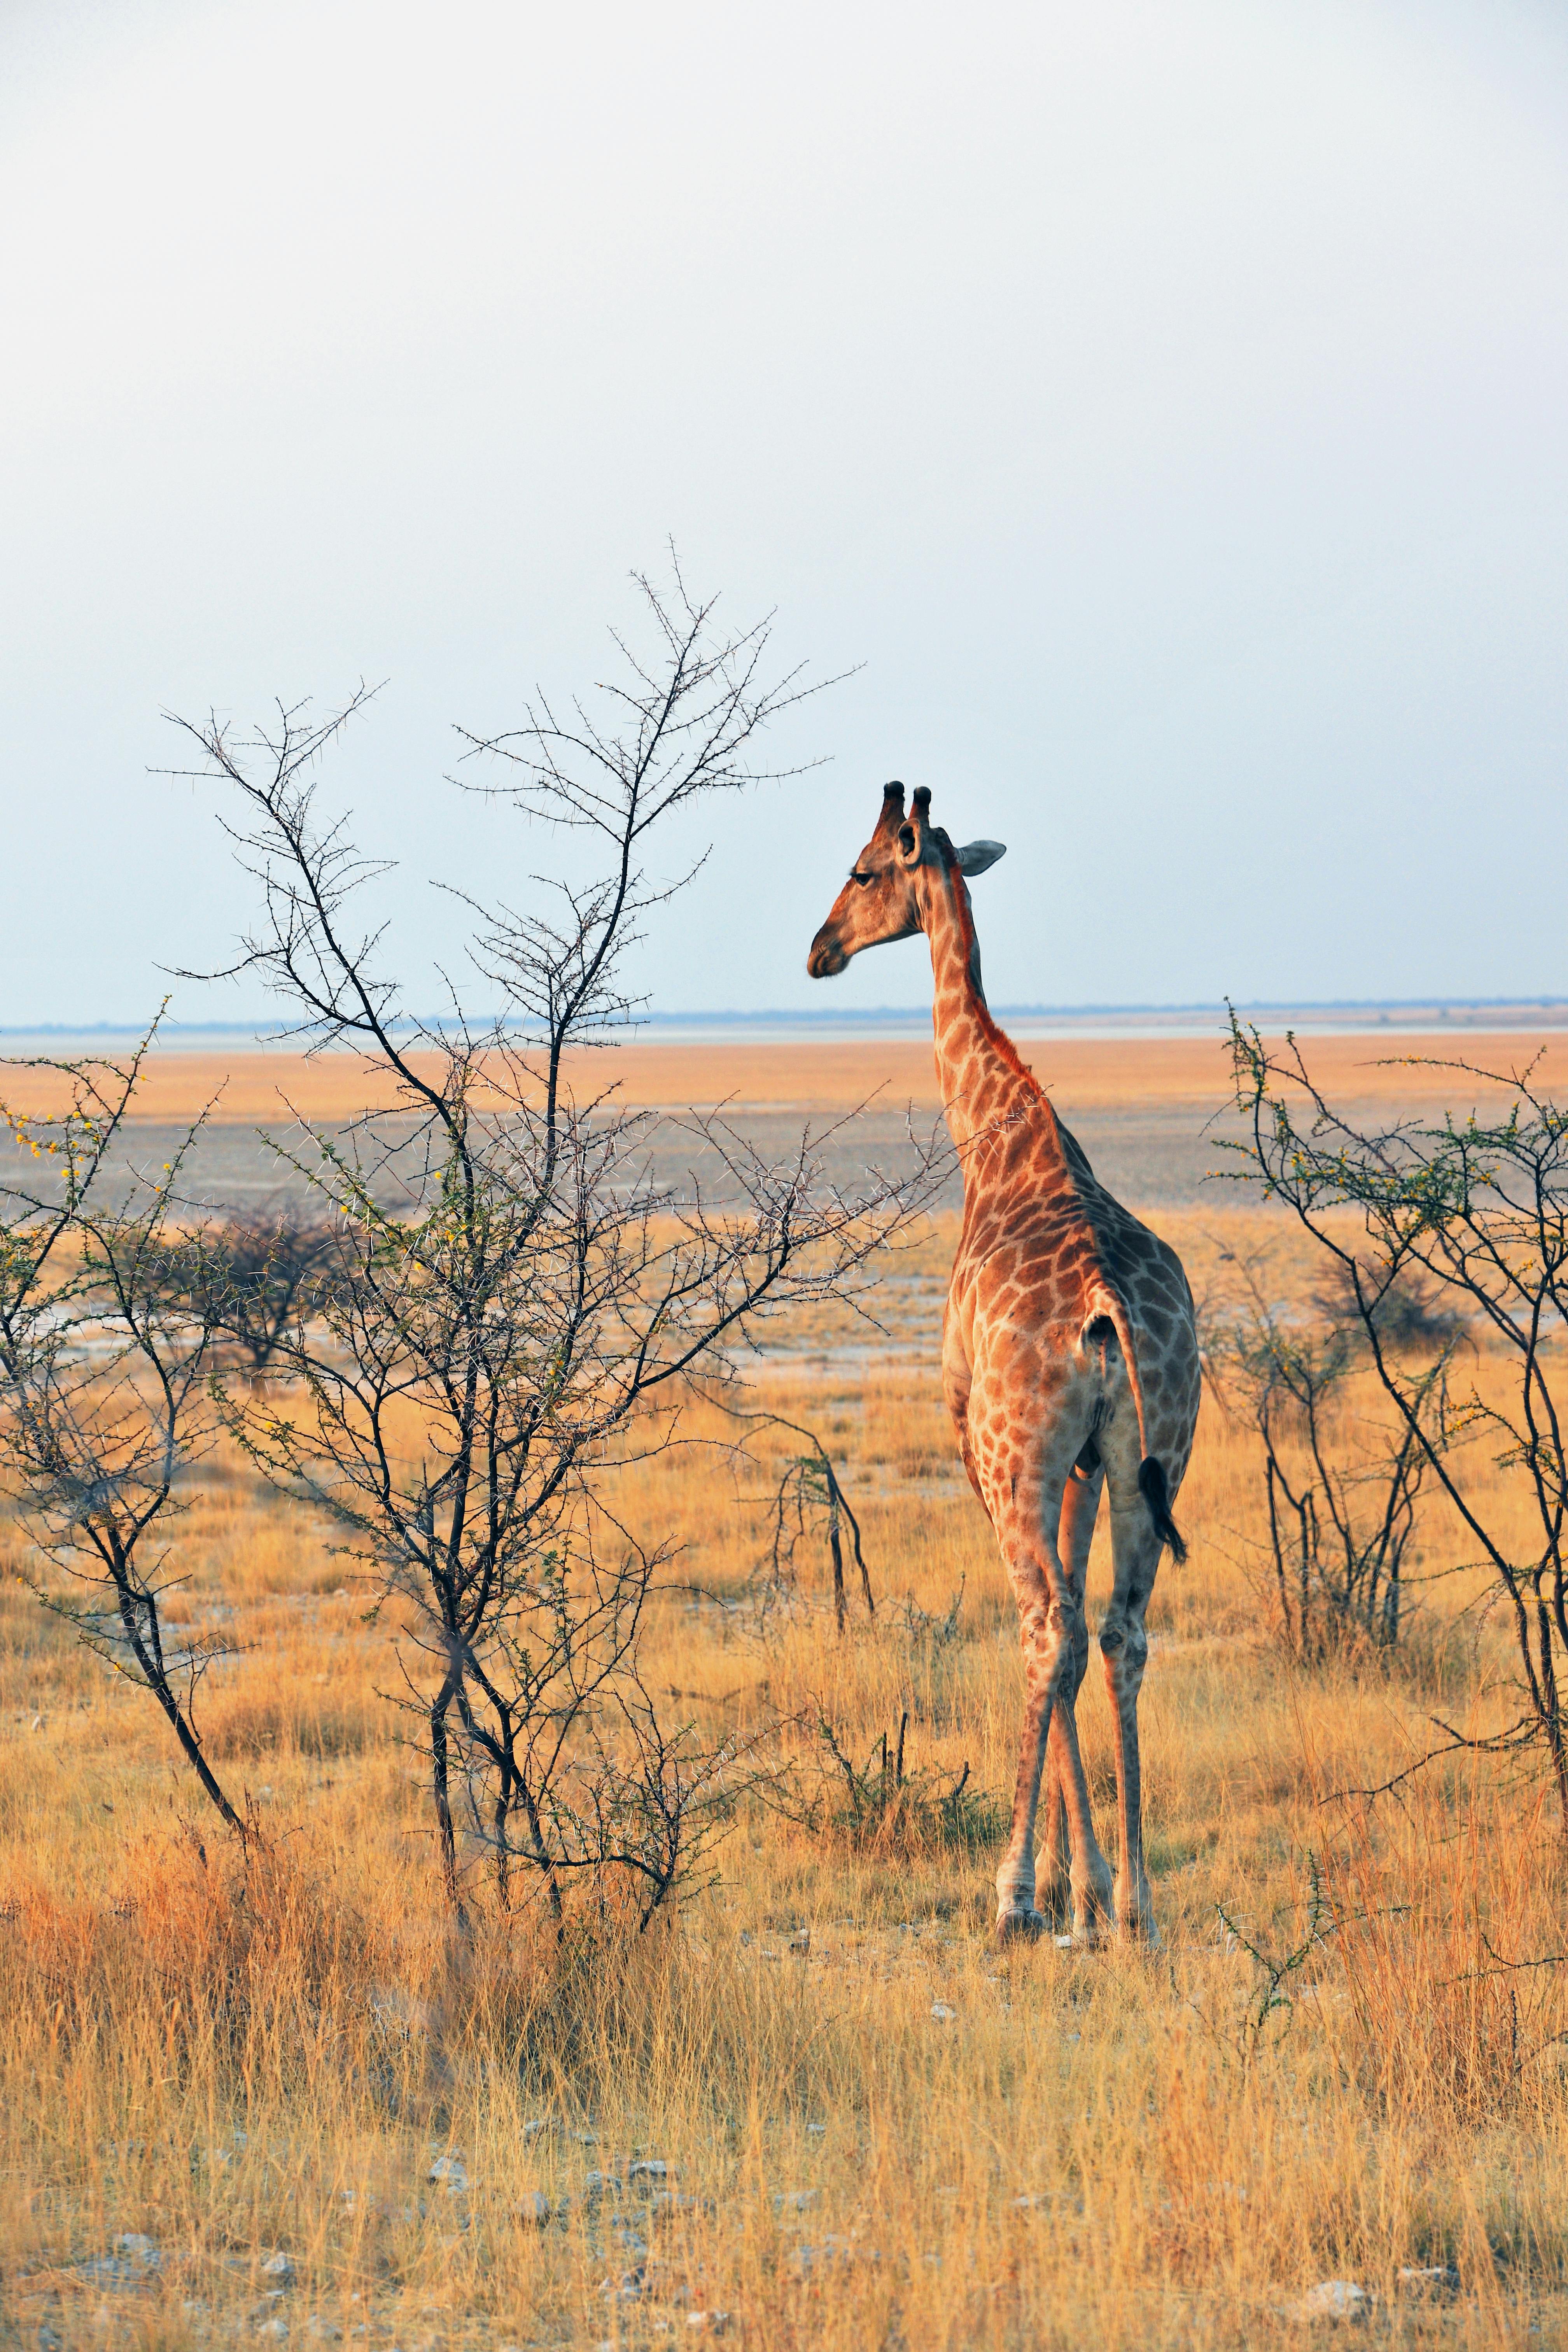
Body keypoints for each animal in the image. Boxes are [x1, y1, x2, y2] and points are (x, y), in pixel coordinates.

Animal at [807, 783, 1201, 1941]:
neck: (997, 1138)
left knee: (1044, 1629)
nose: (819, 952)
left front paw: (1061, 1885)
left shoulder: (970, 1433)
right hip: (1156, 1456)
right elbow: (1085, 1622)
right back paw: (1140, 1904)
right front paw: (1094, 1882)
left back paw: (1012, 1895)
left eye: (861, 871)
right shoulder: (1092, 1464)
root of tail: (1111, 1310)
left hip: (1014, 1457)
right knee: (1119, 1632)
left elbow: (1045, 1631)